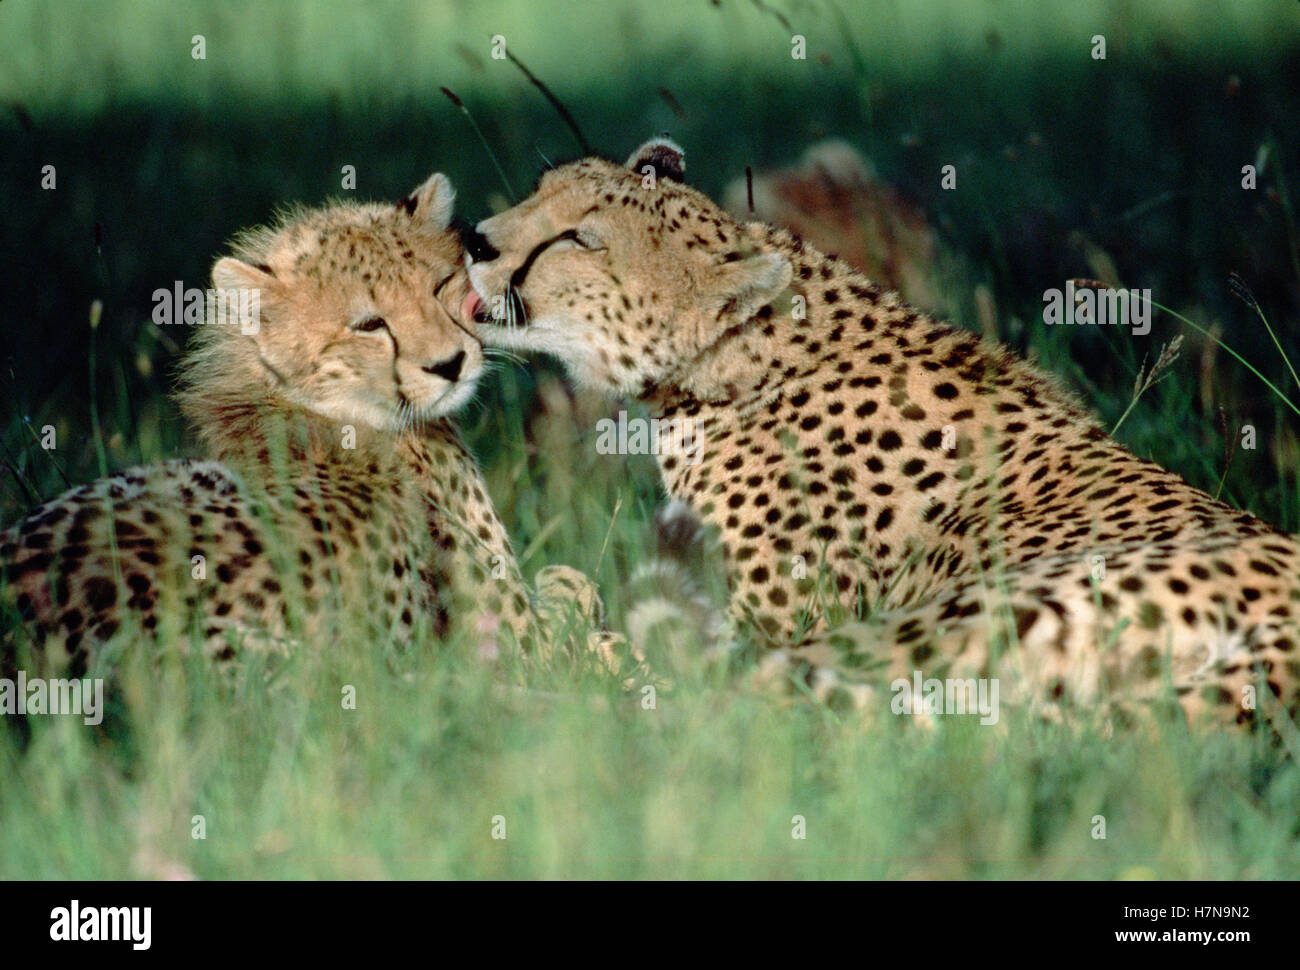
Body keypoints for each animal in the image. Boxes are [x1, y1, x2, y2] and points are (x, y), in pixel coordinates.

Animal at [462, 136, 1300, 729]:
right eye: (541, 189)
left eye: (581, 240)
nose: (473, 238)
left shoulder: (778, 623)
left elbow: (650, 659)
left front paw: (556, 602)